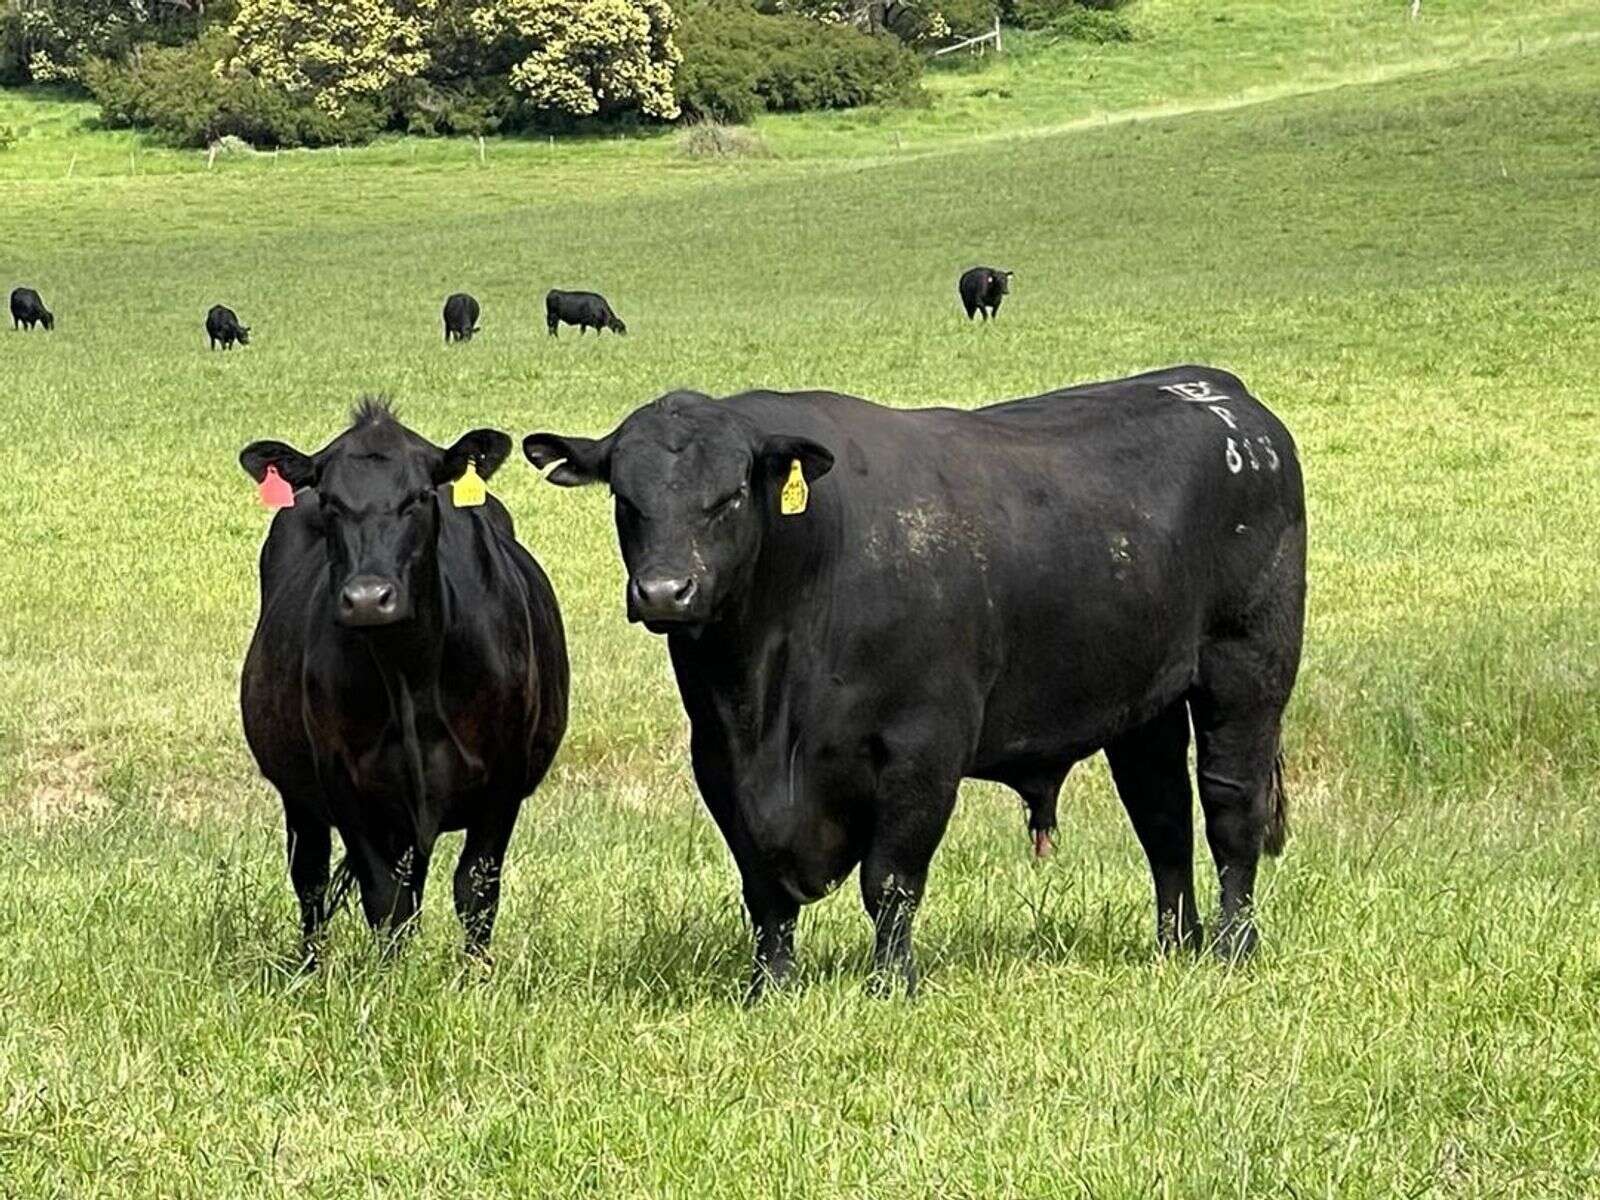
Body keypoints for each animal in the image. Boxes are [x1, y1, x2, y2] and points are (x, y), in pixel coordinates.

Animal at [239, 399, 569, 963]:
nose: (369, 598)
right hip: (301, 795)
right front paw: (391, 976)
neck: (410, 673)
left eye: (418, 497)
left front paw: (475, 974)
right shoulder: (341, 778)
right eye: (330, 500)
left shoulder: (505, 775)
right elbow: (383, 898)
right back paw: (310, 967)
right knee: (311, 879)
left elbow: (476, 889)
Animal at [523, 366, 1304, 999]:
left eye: (732, 494)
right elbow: (763, 889)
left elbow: (891, 881)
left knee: (1230, 806)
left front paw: (890, 984)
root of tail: (1225, 398)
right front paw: (768, 987)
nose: (665, 591)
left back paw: (1234, 945)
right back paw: (1177, 945)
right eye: (626, 499)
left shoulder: (923, 748)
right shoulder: (717, 758)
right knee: (1162, 816)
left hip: (1247, 667)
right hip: (1146, 706)